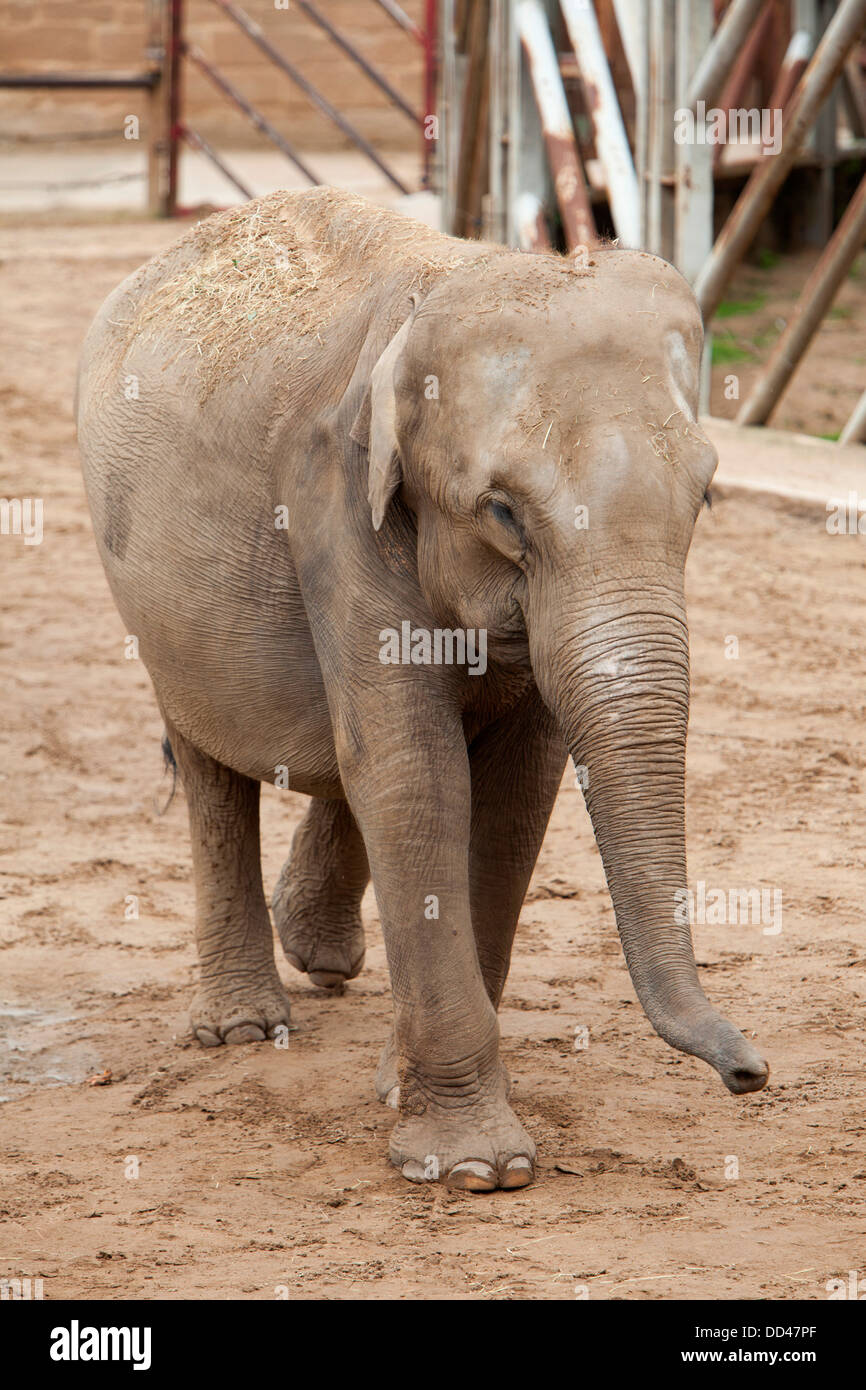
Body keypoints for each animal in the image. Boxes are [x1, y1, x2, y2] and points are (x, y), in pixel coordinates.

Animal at [76, 187, 769, 1193]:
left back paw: (321, 956)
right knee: (212, 760)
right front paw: (477, 1168)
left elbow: (513, 794)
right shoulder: (330, 505)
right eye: (505, 513)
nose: (750, 1073)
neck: (450, 279)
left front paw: (399, 1092)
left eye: (706, 498)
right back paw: (245, 1027)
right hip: (146, 591)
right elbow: (417, 774)